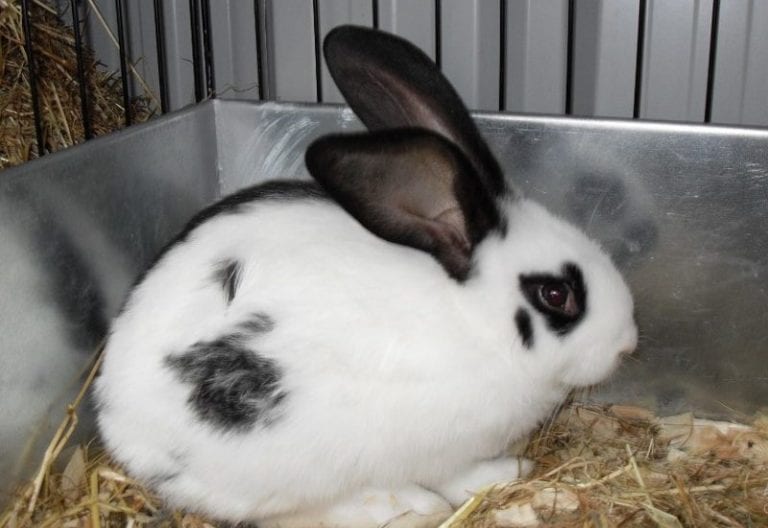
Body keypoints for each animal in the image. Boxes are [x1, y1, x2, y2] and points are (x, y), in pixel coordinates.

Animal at [94, 25, 637, 528]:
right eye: (555, 293)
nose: (627, 345)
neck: (477, 324)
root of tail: (116, 418)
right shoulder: (445, 449)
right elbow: (462, 477)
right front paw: (512, 471)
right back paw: (403, 507)